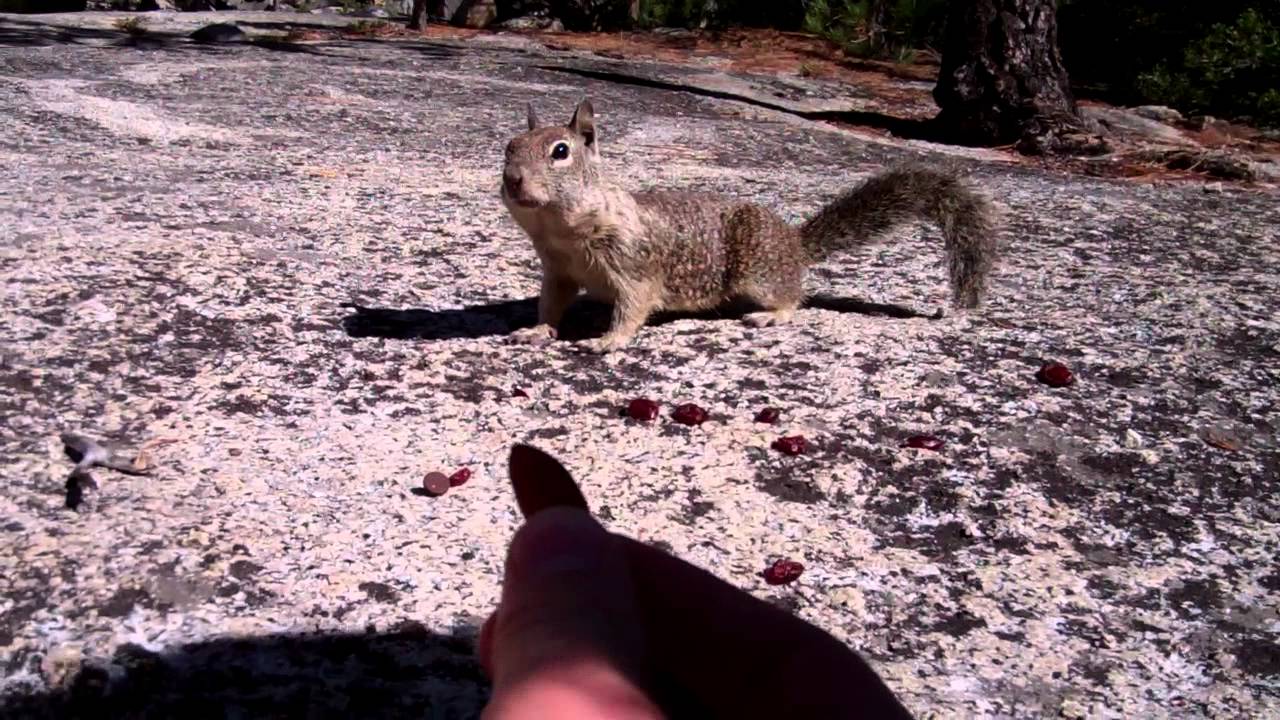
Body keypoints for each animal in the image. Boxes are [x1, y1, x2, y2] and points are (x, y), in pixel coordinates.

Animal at [499, 98, 999, 353]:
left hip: (758, 270)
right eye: (509, 146)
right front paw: (537, 330)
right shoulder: (558, 270)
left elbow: (633, 306)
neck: (563, 231)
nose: (513, 180)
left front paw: (608, 340)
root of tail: (794, 242)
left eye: (560, 152)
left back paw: (770, 315)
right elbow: (551, 304)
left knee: (794, 298)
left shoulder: (634, 265)